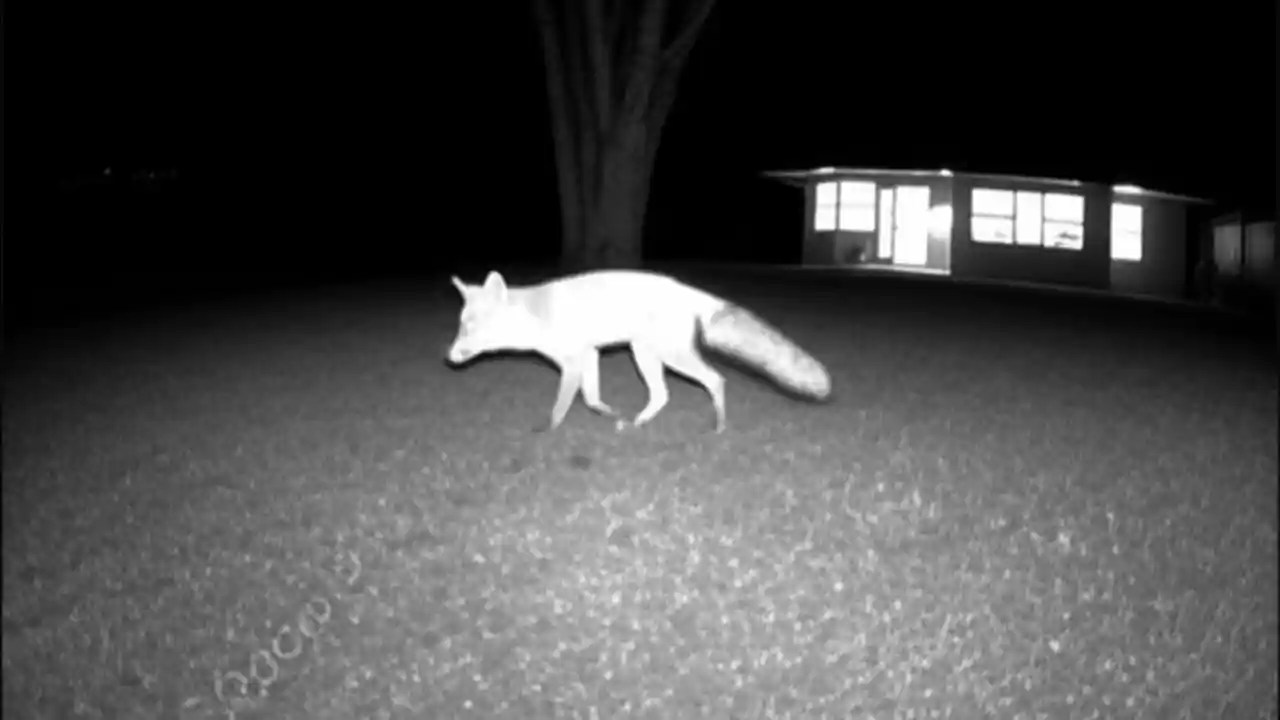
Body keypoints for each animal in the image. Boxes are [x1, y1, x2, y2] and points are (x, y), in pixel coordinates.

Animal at [445, 269, 833, 433]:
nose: (449, 357)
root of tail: (689, 290)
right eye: (460, 325)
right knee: (663, 395)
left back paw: (720, 426)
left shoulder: (571, 363)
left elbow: (559, 407)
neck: (537, 317)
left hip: (666, 356)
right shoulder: (589, 356)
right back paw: (639, 422)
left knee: (716, 380)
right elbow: (591, 399)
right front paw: (610, 414)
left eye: (470, 328)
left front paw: (547, 431)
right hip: (645, 354)